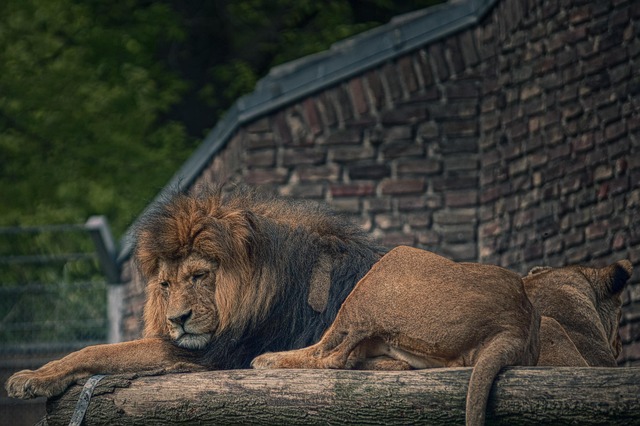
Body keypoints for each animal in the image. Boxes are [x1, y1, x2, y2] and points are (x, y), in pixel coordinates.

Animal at [6, 186, 386, 399]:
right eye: (165, 285)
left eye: (200, 276)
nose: (178, 319)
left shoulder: (214, 354)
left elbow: (100, 351)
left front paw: (33, 377)